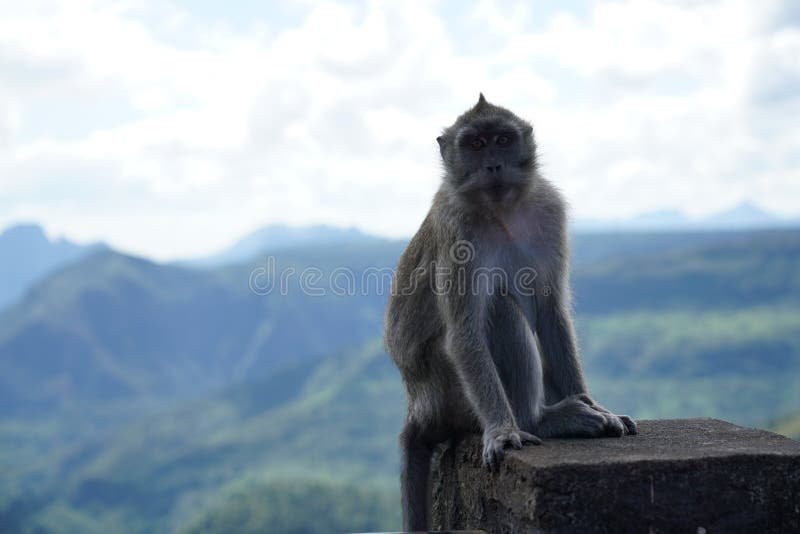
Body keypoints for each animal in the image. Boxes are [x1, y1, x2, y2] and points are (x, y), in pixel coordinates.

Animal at [384, 94, 637, 532]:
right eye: (475, 145)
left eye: (502, 139)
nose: (493, 166)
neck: (500, 209)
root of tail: (418, 404)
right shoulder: (457, 231)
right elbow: (464, 332)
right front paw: (504, 432)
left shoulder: (549, 212)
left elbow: (551, 312)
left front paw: (594, 402)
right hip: (455, 396)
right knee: (499, 308)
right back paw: (538, 421)